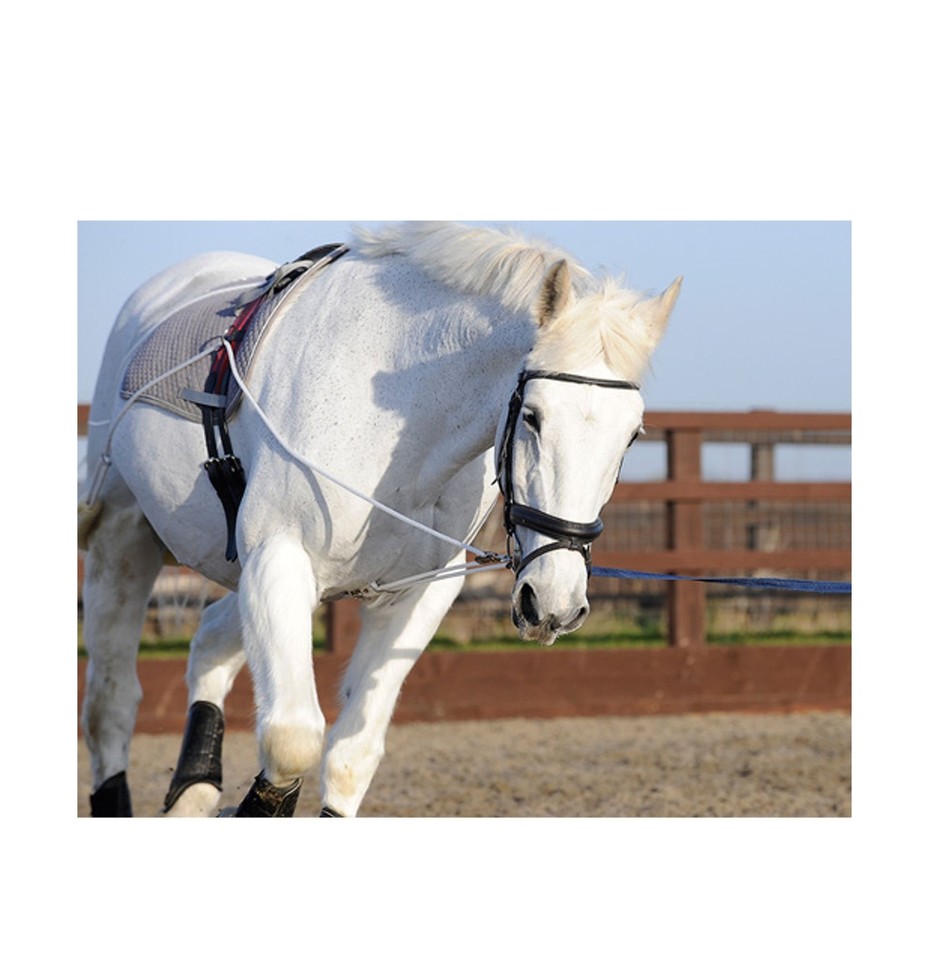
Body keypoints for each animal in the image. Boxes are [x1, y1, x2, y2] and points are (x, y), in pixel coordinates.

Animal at [78, 221, 681, 817]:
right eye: (532, 416)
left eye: (632, 435)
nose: (554, 603)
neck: (396, 417)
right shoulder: (280, 557)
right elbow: (292, 741)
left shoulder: (415, 593)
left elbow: (352, 757)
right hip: (123, 542)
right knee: (110, 703)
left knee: (207, 640)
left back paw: (195, 790)